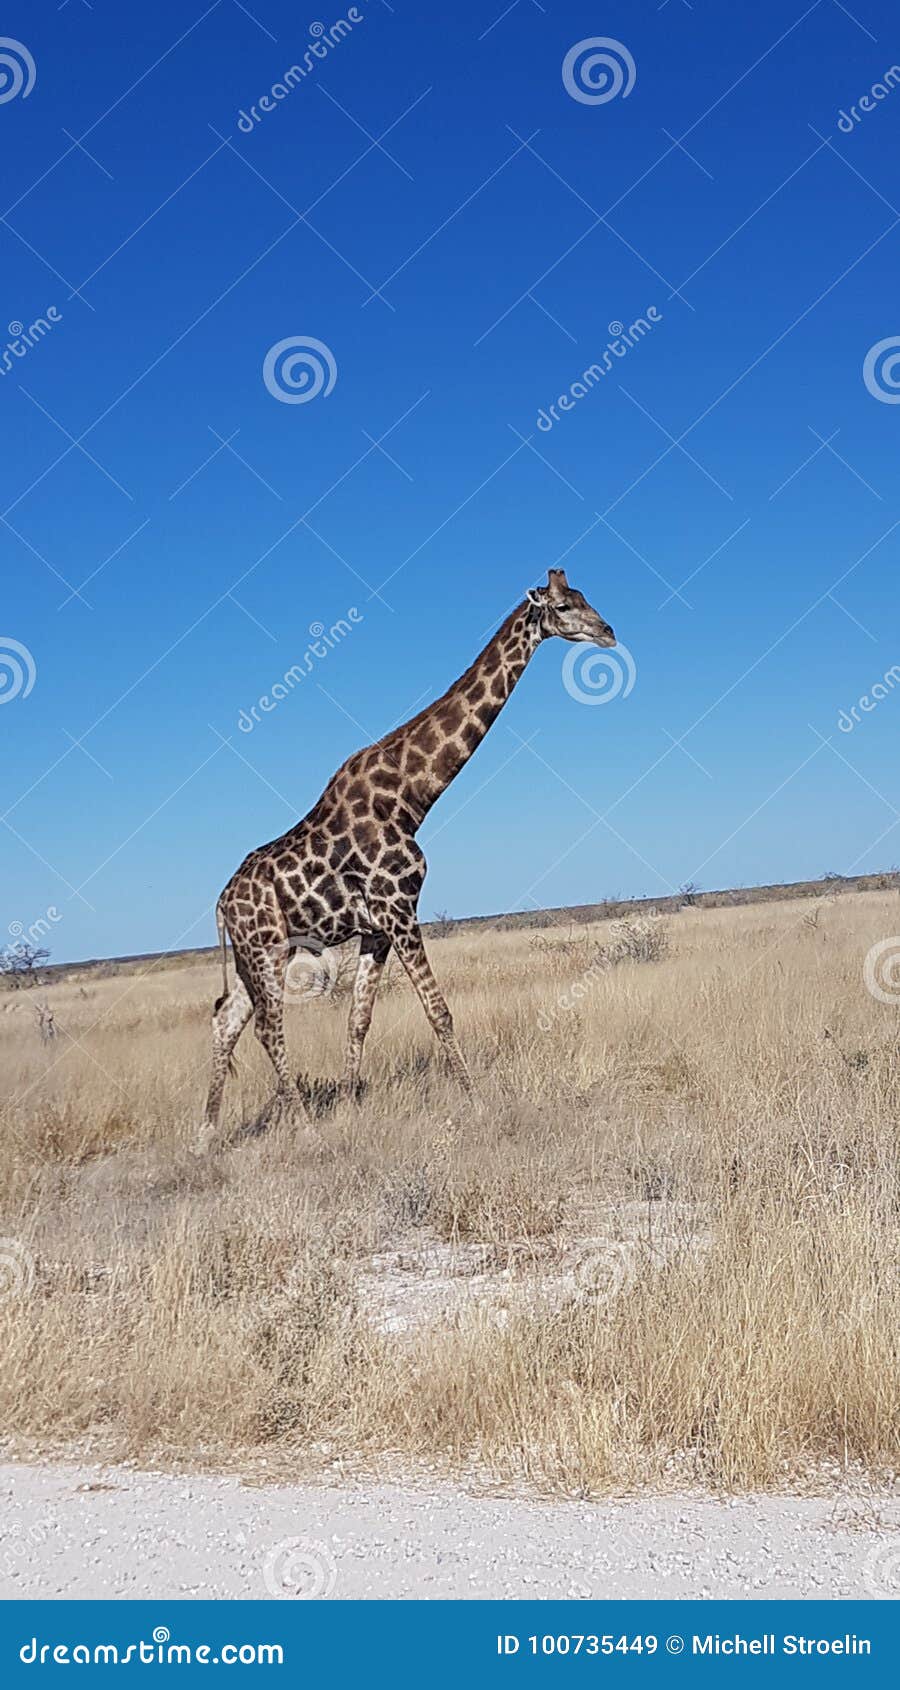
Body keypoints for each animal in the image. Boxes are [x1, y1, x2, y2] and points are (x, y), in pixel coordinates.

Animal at [198, 568, 615, 1146]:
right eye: (563, 606)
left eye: (583, 597)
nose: (609, 632)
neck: (411, 795)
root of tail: (220, 904)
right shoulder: (399, 909)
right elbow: (438, 1011)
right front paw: (477, 1104)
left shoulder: (375, 928)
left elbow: (358, 1020)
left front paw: (350, 1109)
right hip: (267, 949)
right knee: (265, 1025)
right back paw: (303, 1126)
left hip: (247, 956)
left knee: (225, 1019)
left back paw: (205, 1137)